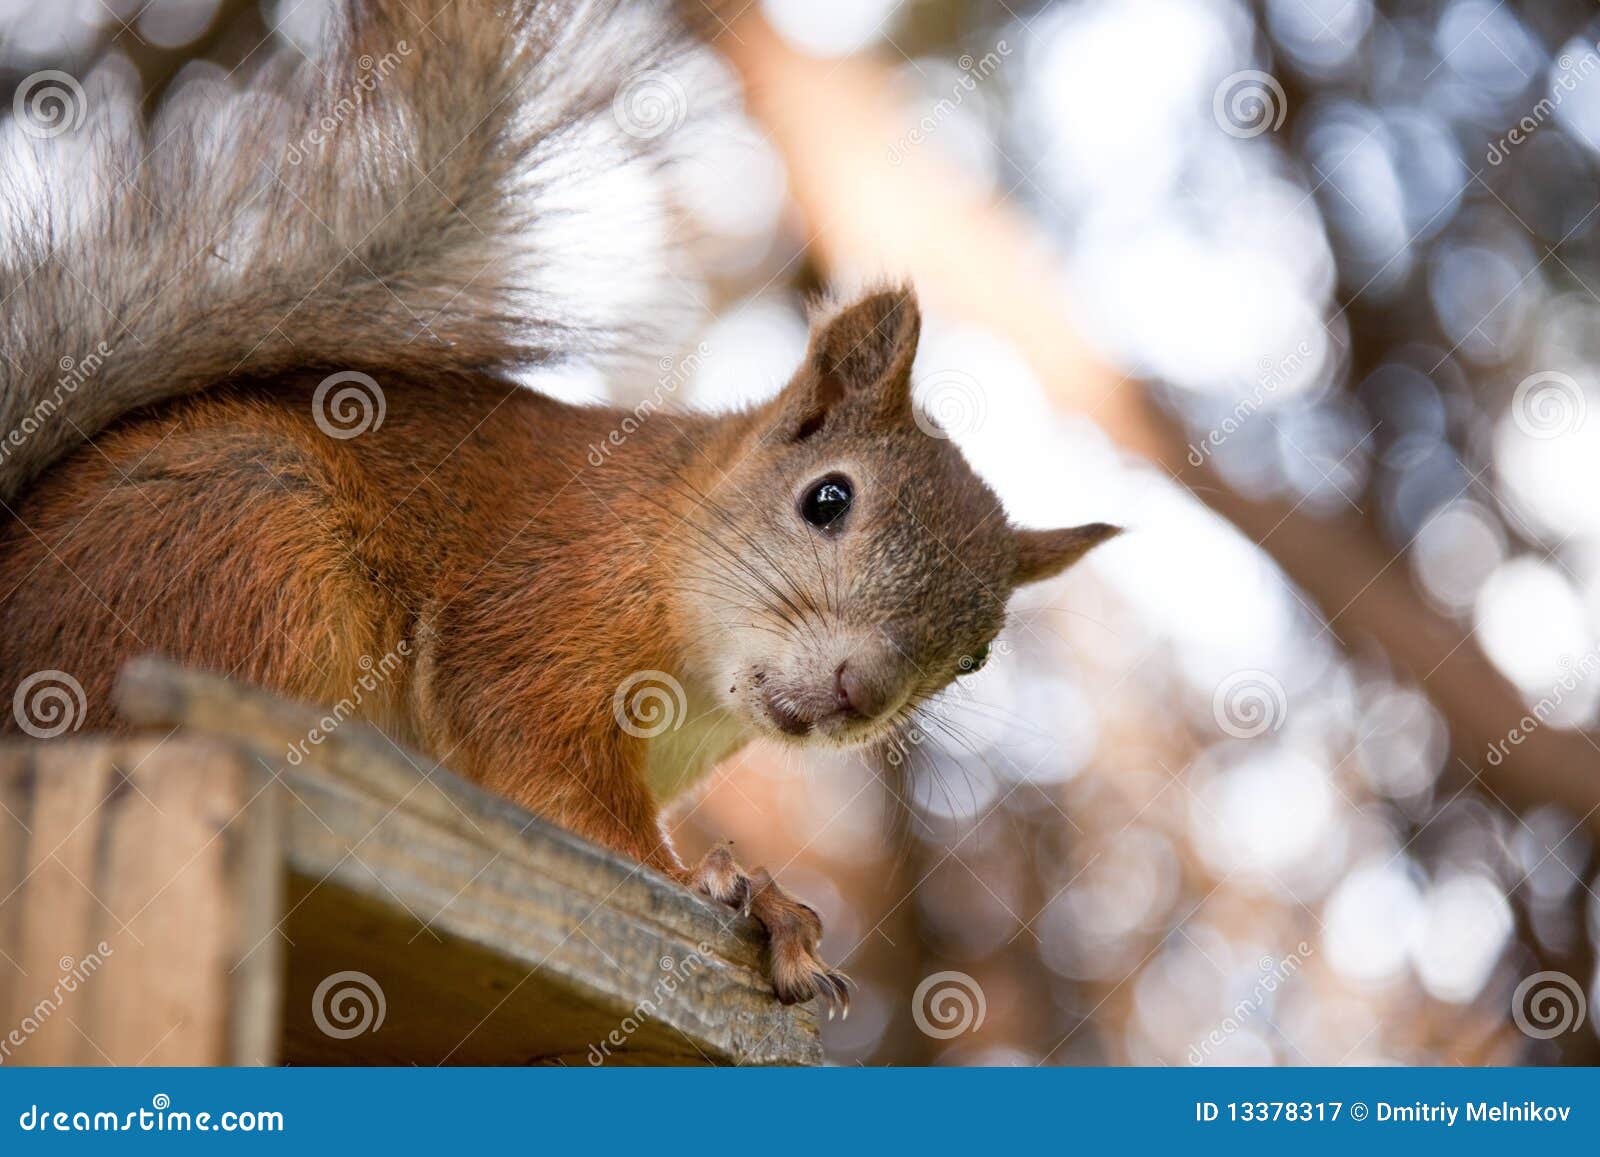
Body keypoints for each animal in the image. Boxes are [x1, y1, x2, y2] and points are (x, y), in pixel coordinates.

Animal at [0, 0, 1118, 1010]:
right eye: (827, 498)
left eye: (976, 654)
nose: (860, 690)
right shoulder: (542, 604)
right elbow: (538, 756)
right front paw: (726, 885)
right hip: (256, 541)